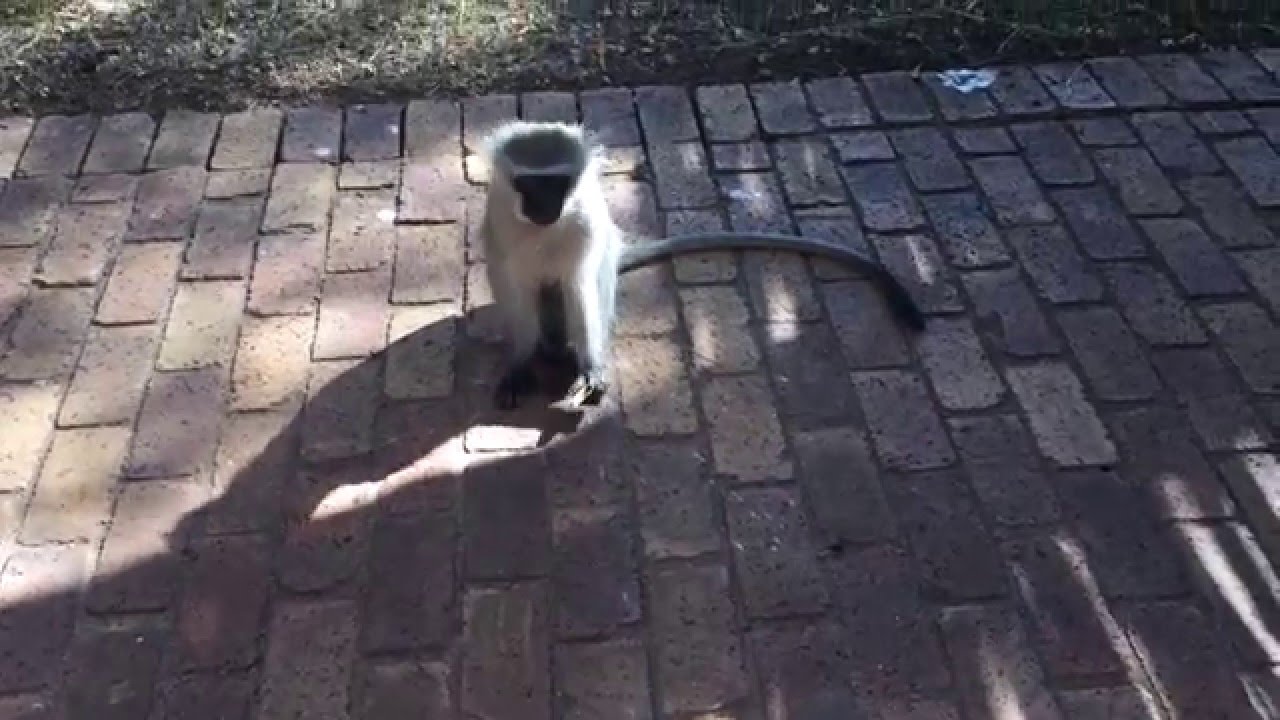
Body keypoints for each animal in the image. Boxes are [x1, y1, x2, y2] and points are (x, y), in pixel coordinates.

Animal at [478, 120, 925, 411]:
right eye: (529, 184)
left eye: (556, 184)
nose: (543, 208)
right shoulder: (500, 217)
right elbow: (514, 290)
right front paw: (519, 363)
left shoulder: (583, 224)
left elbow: (580, 286)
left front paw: (590, 368)